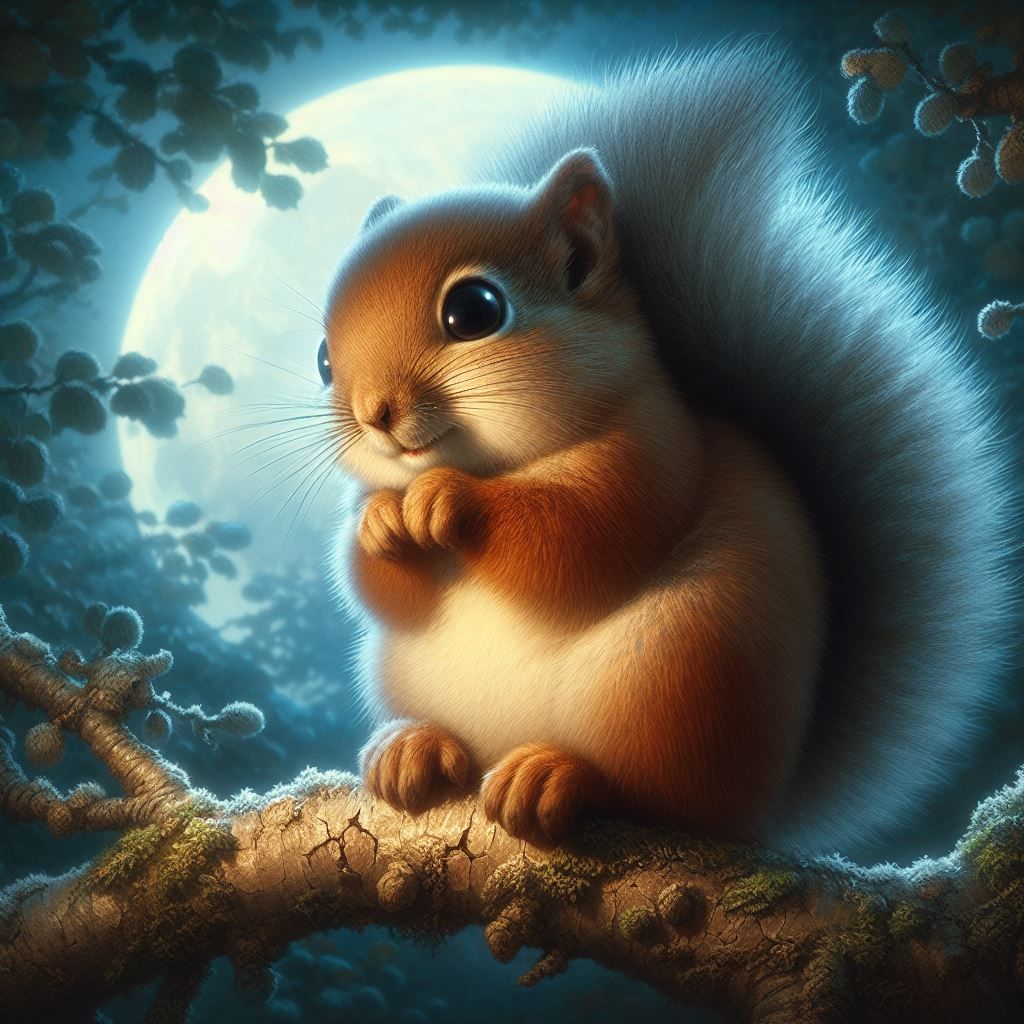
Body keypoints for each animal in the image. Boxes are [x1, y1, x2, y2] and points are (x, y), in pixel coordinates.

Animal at [323, 43, 1016, 854]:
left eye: (475, 311)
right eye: (325, 360)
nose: (374, 413)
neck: (498, 462)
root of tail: (761, 806)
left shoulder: (653, 451)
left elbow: (581, 540)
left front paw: (447, 500)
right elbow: (386, 593)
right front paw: (378, 523)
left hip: (678, 675)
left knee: (662, 797)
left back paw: (556, 776)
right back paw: (416, 748)